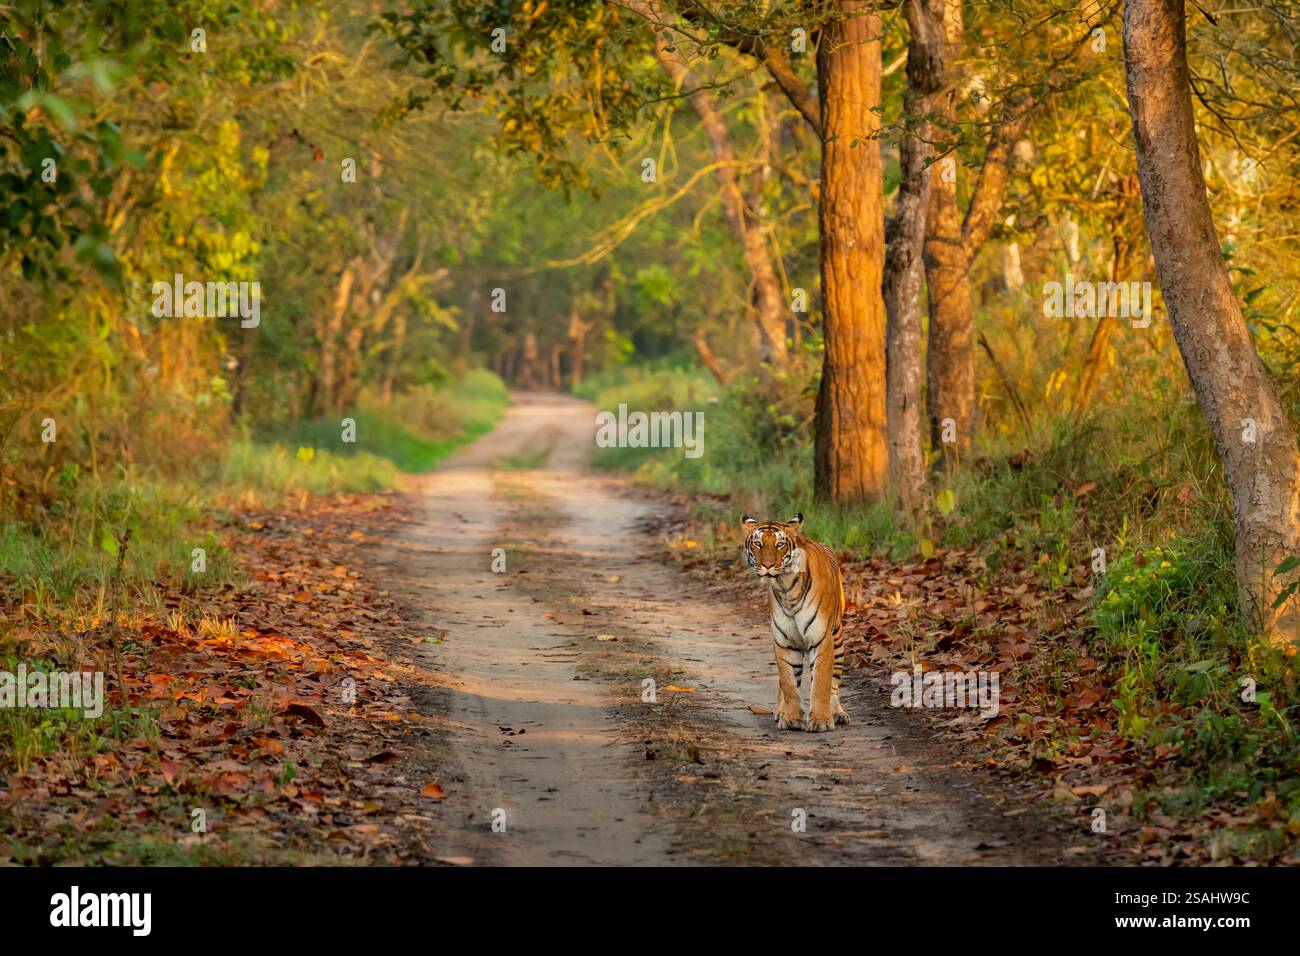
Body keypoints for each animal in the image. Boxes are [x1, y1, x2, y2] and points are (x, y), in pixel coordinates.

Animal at [742, 513, 849, 732]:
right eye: (758, 543)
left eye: (780, 544)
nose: (767, 565)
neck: (786, 586)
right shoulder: (785, 641)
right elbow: (789, 683)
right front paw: (791, 718)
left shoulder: (821, 638)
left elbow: (821, 683)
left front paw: (821, 721)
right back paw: (780, 710)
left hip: (838, 639)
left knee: (834, 683)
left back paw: (837, 713)